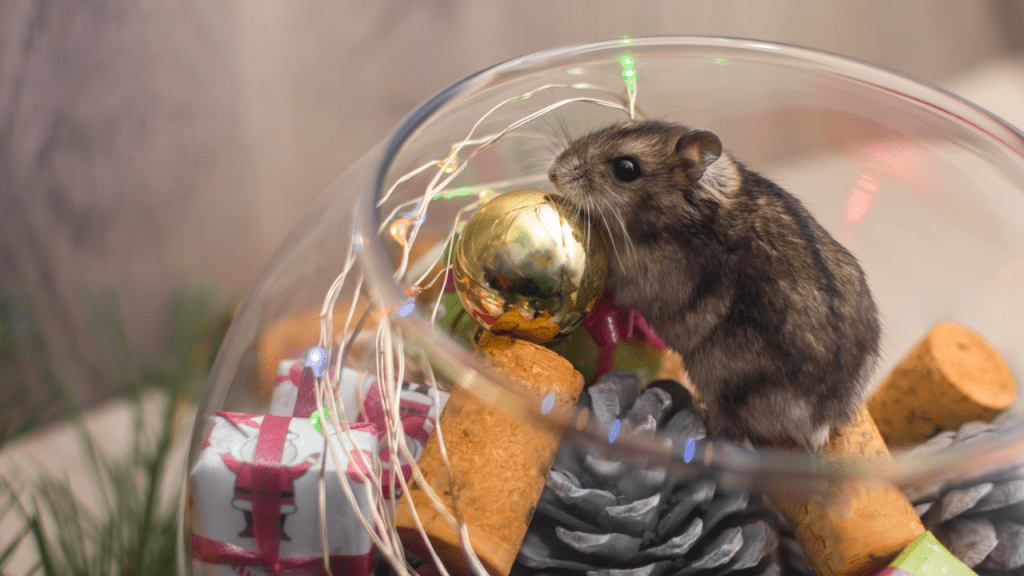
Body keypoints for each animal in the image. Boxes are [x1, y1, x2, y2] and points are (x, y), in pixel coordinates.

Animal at [548, 120, 880, 450]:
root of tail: (823, 422)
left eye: (626, 168)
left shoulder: (642, 274)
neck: (686, 207)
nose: (553, 172)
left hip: (724, 382)